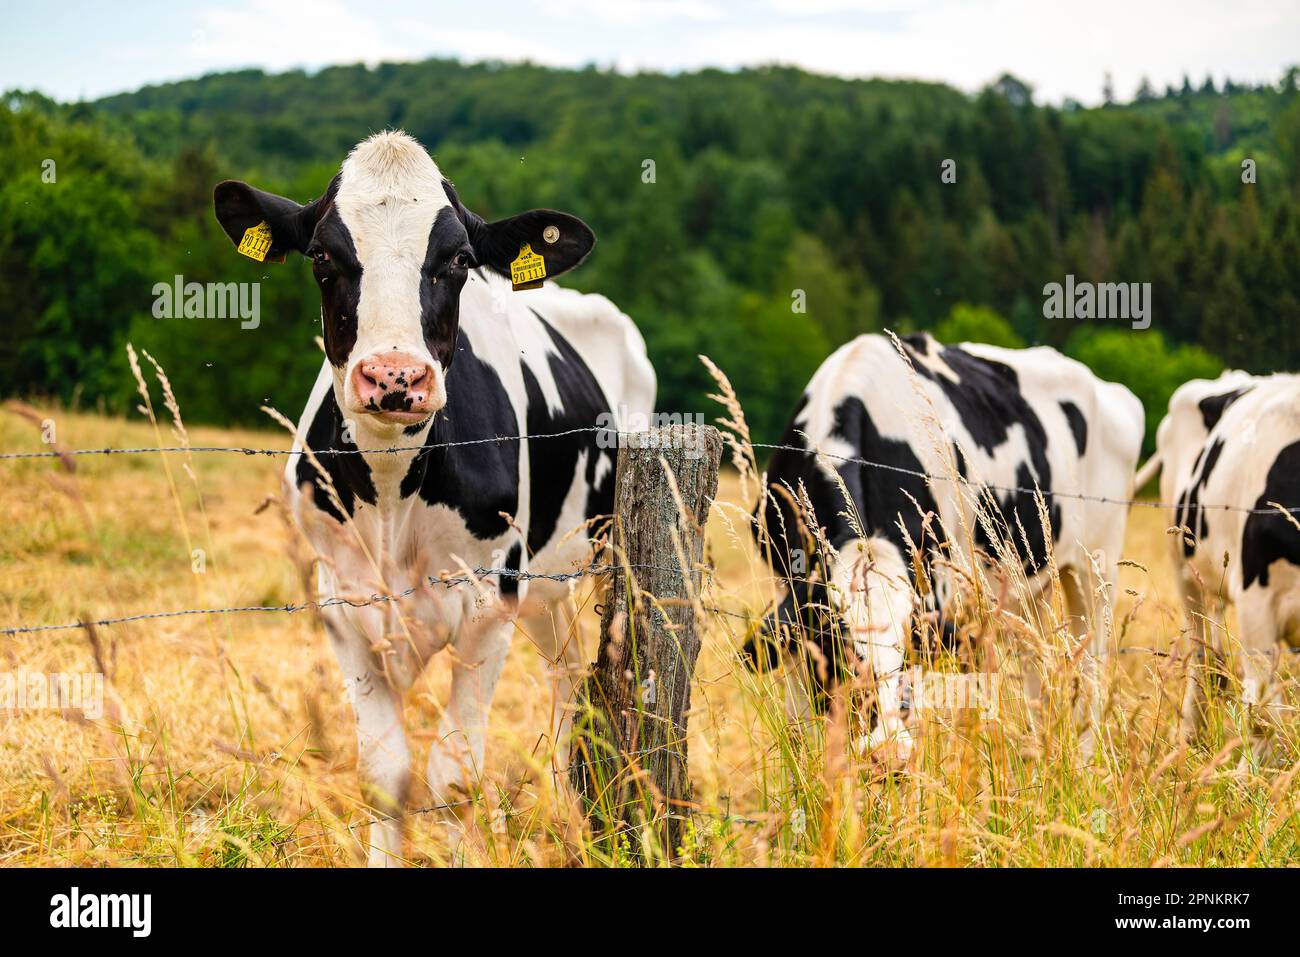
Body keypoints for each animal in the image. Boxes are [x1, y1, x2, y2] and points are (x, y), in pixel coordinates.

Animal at [212, 131, 655, 865]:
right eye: (323, 256)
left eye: (459, 259)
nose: (395, 377)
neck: (394, 496)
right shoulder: (343, 606)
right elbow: (384, 774)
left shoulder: (488, 603)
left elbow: (454, 775)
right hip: (546, 587)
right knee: (565, 672)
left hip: (601, 555)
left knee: (586, 686)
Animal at [744, 332, 1145, 764]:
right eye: (839, 649)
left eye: (909, 648)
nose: (889, 754)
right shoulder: (790, 587)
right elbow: (799, 716)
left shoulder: (934, 589)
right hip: (1029, 589)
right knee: (1036, 668)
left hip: (1097, 569)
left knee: (1091, 669)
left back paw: (1086, 759)